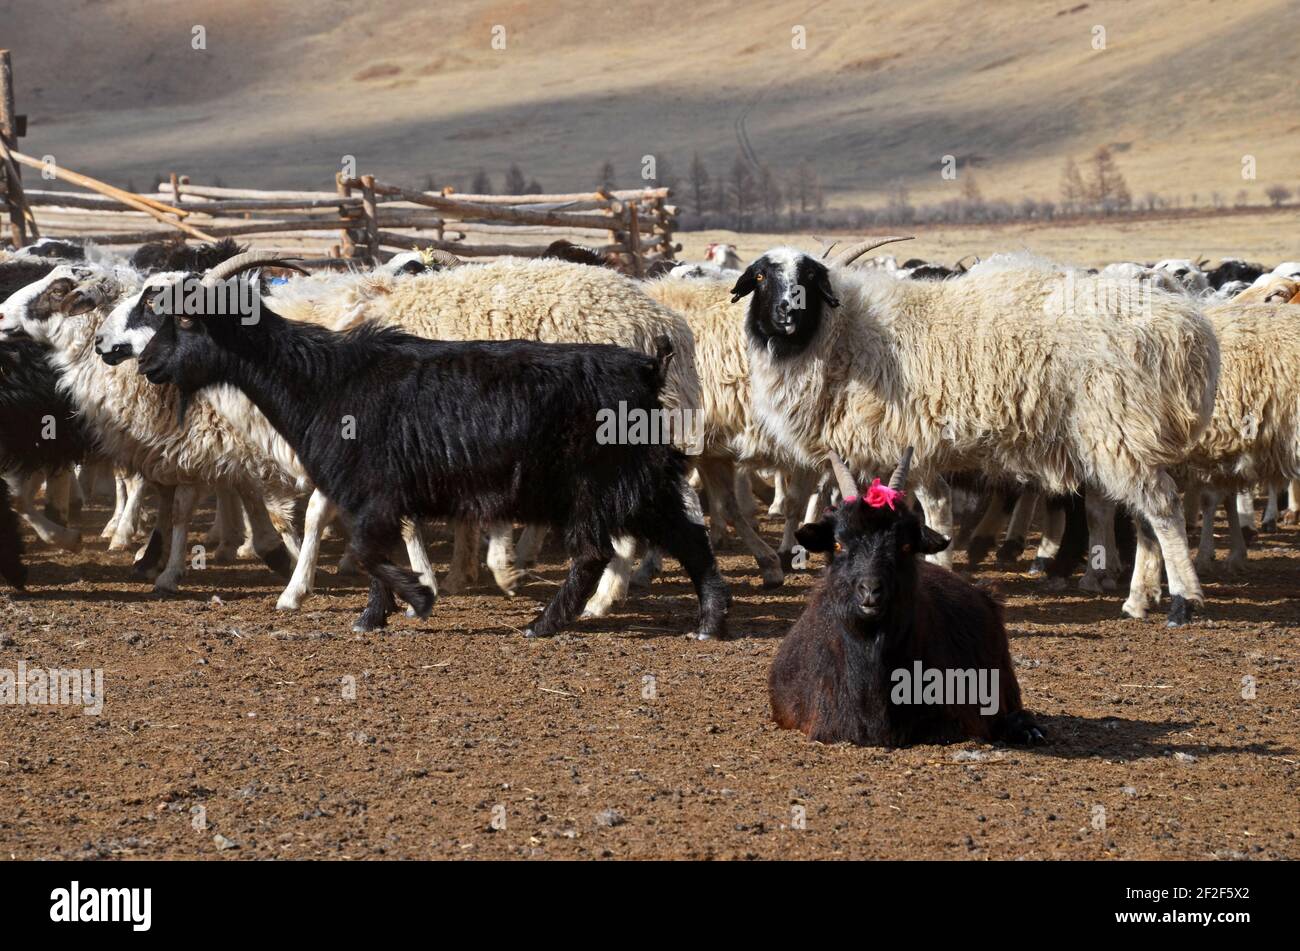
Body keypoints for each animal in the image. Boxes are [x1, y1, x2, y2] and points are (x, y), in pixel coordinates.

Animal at [135, 253, 732, 639]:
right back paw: (708, 621)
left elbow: (365, 548)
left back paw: (549, 621)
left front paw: (417, 597)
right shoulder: (374, 489)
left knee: (596, 552)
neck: (324, 377)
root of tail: (652, 362)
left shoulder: (371, 486)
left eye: (185, 317)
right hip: (642, 478)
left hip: (597, 482)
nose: (143, 363)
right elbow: (372, 548)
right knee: (689, 536)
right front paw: (376, 613)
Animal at [732, 242, 1220, 627]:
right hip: (1129, 436)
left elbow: (935, 511)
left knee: (1162, 507)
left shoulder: (914, 443)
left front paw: (939, 568)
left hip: (1118, 424)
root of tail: (1189, 330)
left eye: (810, 277)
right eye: (760, 276)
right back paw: (1139, 598)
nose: (788, 311)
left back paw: (1184, 601)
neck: (844, 335)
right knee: (1143, 515)